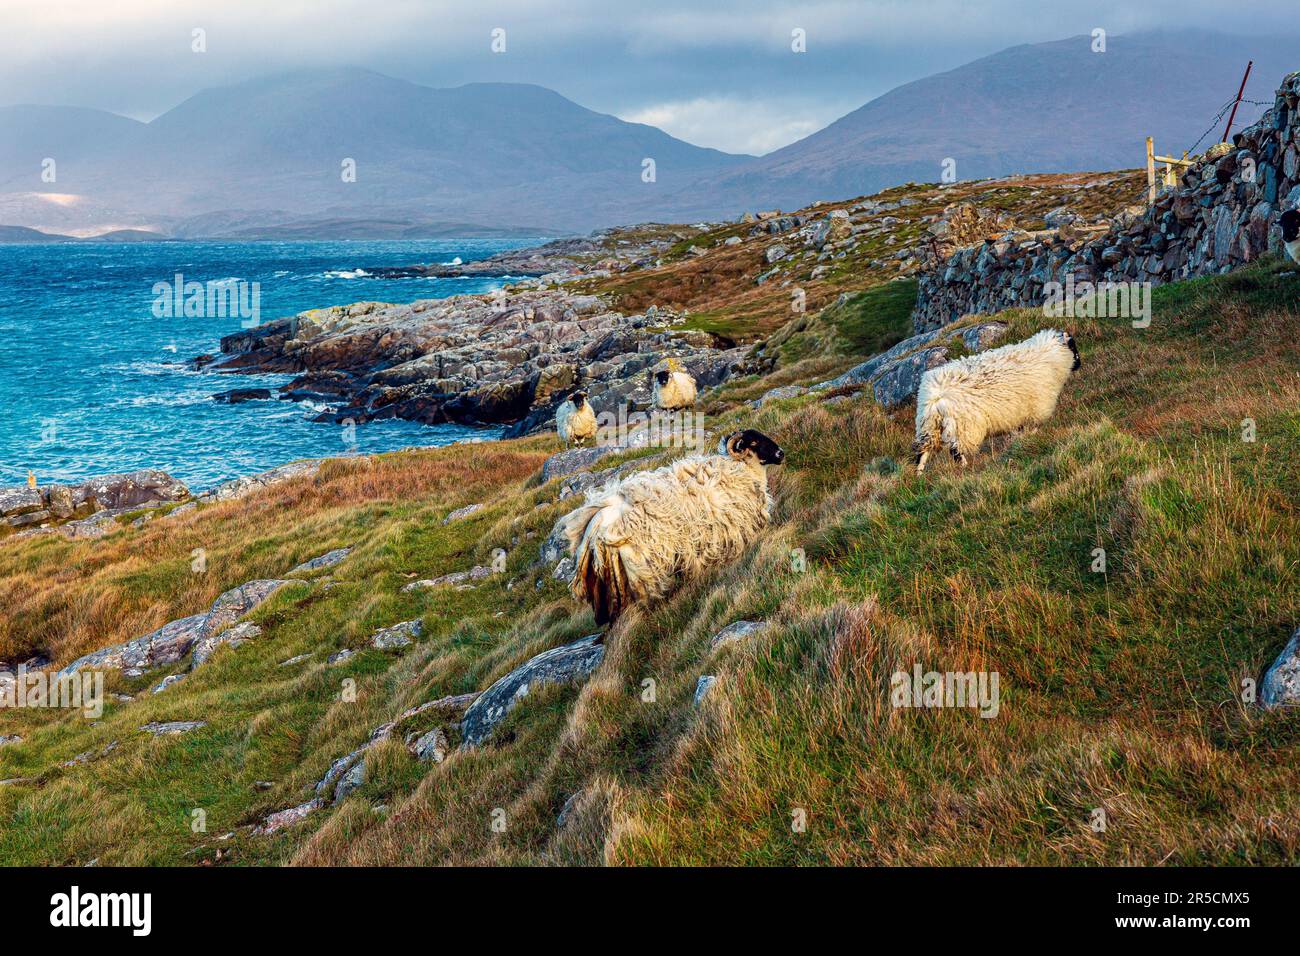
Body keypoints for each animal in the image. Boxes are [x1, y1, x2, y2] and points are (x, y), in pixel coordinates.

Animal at [561, 429, 784, 626]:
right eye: (753, 442)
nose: (781, 453)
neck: (739, 469)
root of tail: (594, 526)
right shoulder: (733, 529)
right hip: (640, 567)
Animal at [912, 328, 1080, 472]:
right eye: (1073, 345)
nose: (1079, 364)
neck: (1050, 357)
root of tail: (934, 397)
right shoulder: (1036, 408)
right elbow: (1033, 426)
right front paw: (1029, 438)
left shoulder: (1019, 414)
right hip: (964, 425)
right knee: (955, 449)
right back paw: (964, 466)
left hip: (928, 425)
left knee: (923, 451)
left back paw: (919, 474)